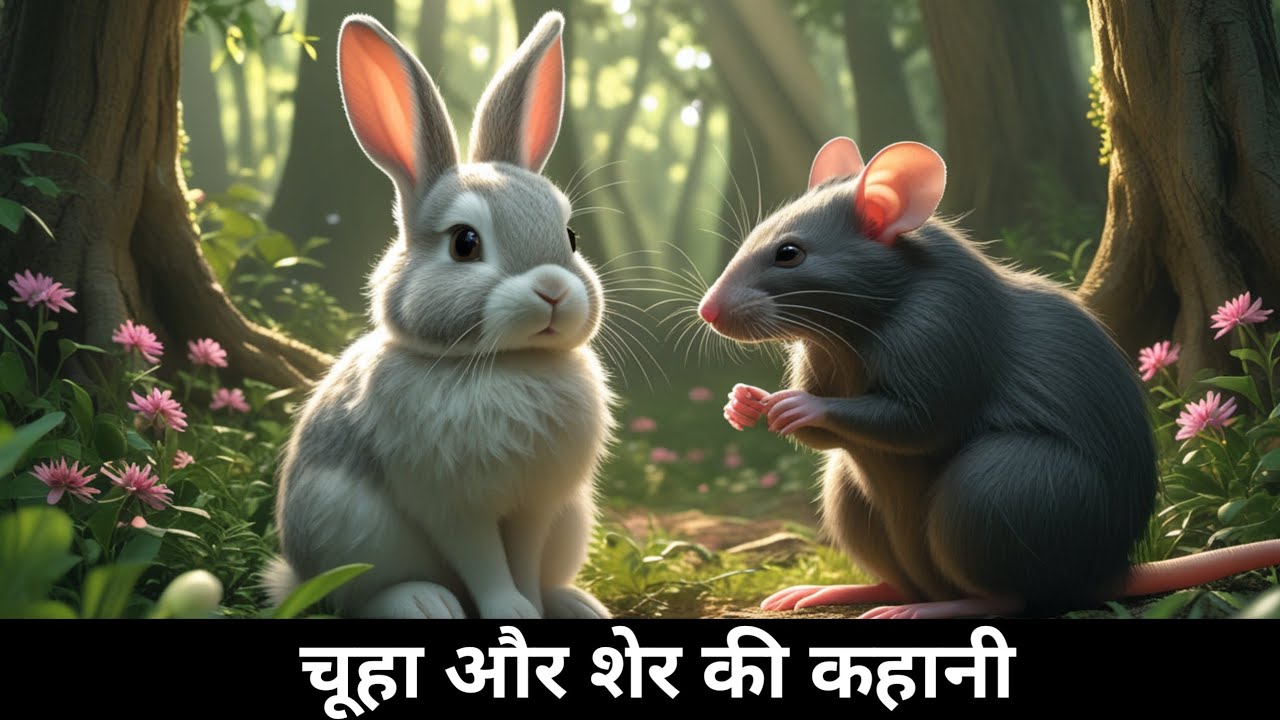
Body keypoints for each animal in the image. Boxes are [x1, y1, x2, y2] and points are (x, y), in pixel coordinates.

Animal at [261, 12, 615, 619]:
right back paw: (424, 602)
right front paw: (511, 613)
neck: (509, 363)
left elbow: (523, 558)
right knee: (355, 594)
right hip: (347, 528)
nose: (552, 290)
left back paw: (574, 603)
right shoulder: (454, 506)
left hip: (573, 518)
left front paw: (530, 606)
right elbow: (484, 561)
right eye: (464, 243)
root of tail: (291, 574)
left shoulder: (537, 504)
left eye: (570, 236)